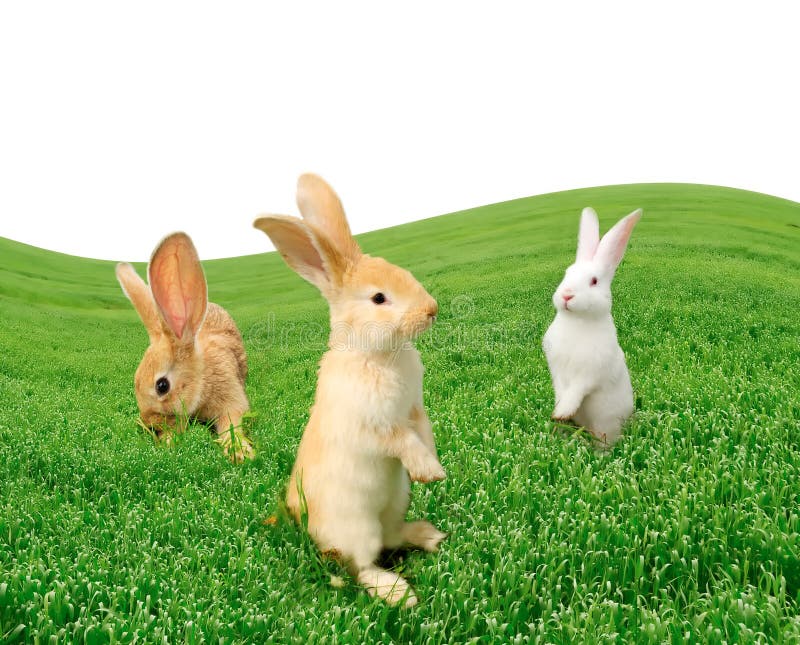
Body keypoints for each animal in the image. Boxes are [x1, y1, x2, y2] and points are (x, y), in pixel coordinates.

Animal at [116, 232, 255, 463]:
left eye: (162, 386)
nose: (149, 423)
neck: (203, 379)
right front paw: (167, 442)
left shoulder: (230, 396)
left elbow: (231, 422)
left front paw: (239, 452)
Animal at [254, 174, 445, 607]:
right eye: (378, 298)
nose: (431, 309)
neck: (378, 356)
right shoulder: (375, 425)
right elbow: (403, 441)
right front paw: (430, 471)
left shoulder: (415, 408)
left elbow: (423, 432)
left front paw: (435, 466)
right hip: (358, 527)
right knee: (362, 566)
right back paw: (399, 593)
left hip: (395, 501)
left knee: (393, 537)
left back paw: (430, 536)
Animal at [542, 207, 642, 448]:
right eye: (566, 273)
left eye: (594, 281)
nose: (567, 295)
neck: (577, 320)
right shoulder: (558, 370)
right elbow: (562, 389)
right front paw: (558, 412)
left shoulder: (589, 374)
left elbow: (576, 391)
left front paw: (561, 412)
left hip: (606, 425)